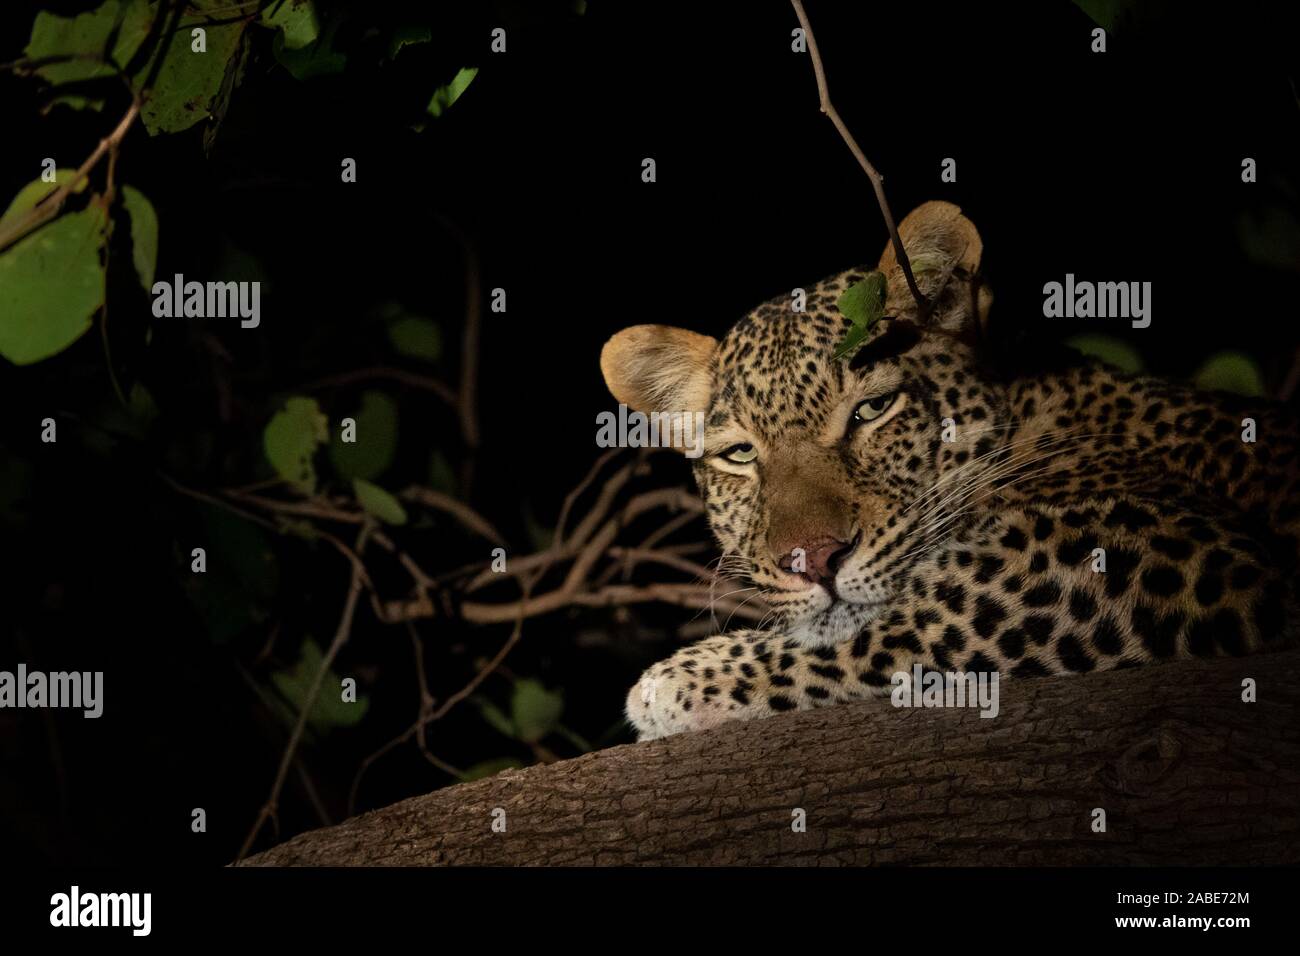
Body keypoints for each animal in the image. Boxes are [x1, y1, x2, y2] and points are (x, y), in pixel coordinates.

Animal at [600, 201, 1300, 741]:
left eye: (873, 410)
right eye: (741, 455)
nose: (816, 559)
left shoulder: (1183, 555)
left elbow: (920, 615)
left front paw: (682, 676)